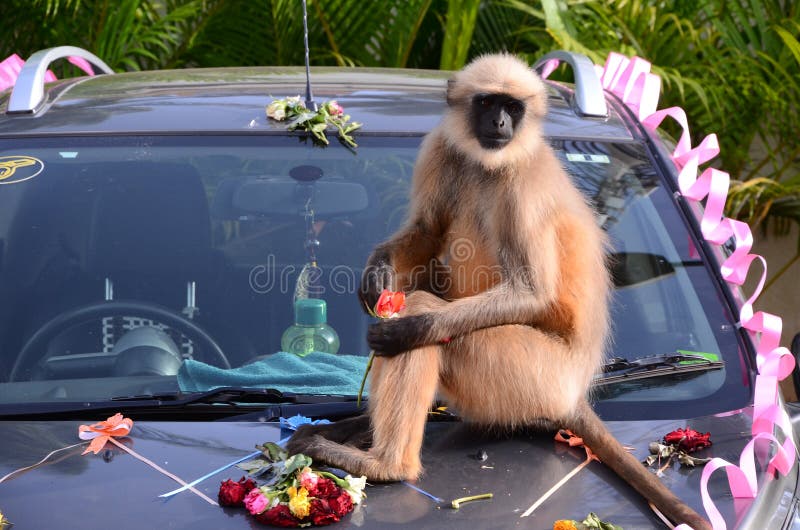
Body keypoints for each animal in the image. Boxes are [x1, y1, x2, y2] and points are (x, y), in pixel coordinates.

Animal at [287, 53, 711, 530]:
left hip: (531, 375)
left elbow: (529, 291)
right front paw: (376, 273)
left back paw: (385, 465)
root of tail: (574, 393)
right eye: (487, 103)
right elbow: (427, 230)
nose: (500, 121)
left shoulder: (523, 186)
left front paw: (405, 330)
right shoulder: (441, 147)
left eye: (513, 106)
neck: (490, 160)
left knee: (427, 313)